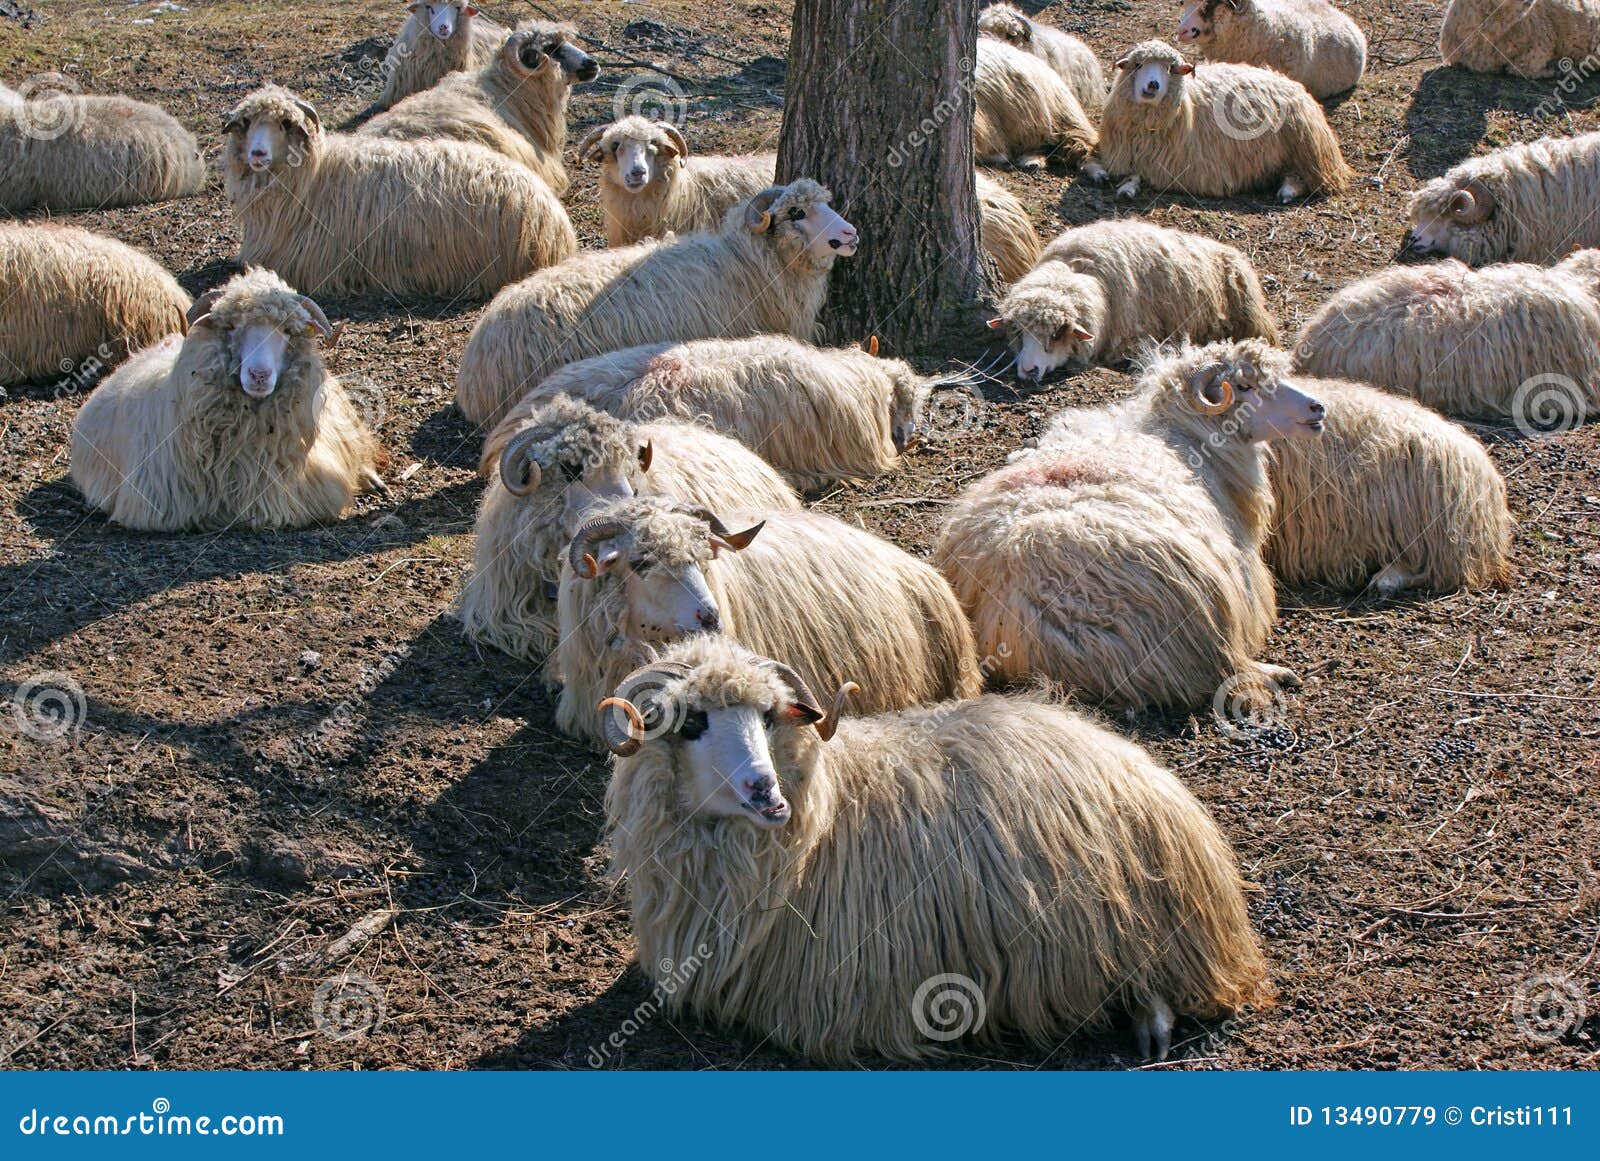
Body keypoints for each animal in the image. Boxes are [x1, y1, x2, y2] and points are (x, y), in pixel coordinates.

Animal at [932, 339, 1327, 710]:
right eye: (1245, 386)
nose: (1318, 407)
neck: (1184, 437)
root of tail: (999, 595)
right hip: (1190, 614)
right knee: (1226, 665)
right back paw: (1277, 673)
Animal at [1085, 40, 1352, 202]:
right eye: (1138, 65)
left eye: (1170, 69)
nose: (1153, 85)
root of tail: (1295, 86)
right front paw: (1107, 177)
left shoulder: (1170, 166)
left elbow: (1140, 174)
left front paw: (1128, 188)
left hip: (1307, 148)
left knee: (1309, 178)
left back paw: (1287, 191)